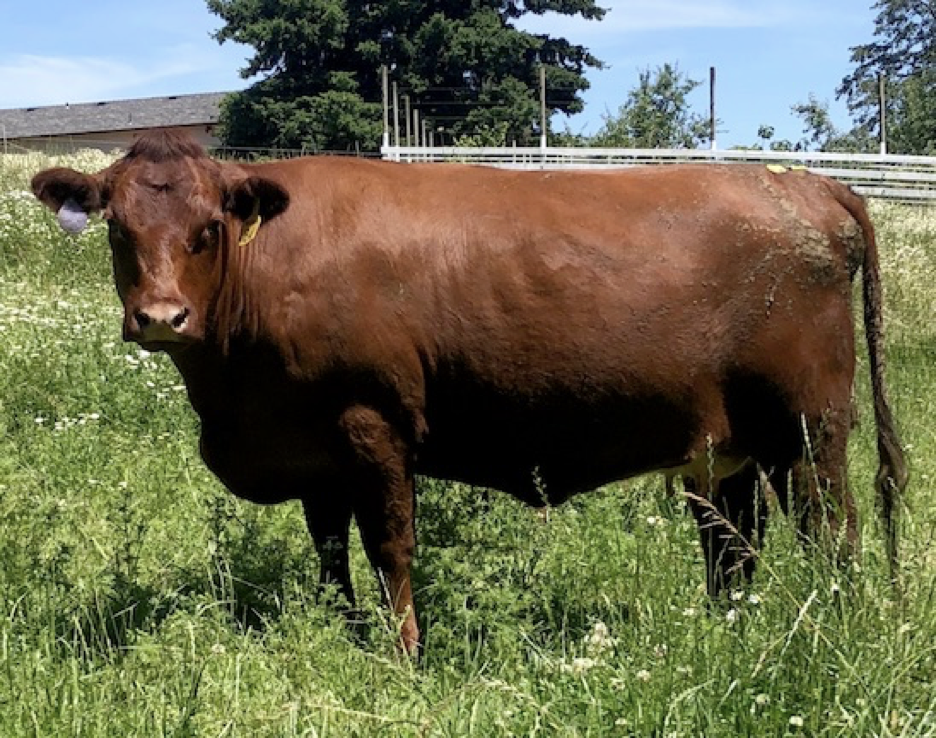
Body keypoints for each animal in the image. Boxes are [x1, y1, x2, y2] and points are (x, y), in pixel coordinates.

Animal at [31, 131, 907, 653]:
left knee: (831, 530)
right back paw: (730, 632)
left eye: (209, 228)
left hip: (809, 427)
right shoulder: (314, 454)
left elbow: (389, 549)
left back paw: (828, 625)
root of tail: (805, 184)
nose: (160, 316)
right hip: (726, 446)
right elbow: (329, 557)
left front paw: (405, 655)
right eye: (118, 228)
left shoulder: (371, 424)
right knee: (733, 545)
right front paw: (351, 638)